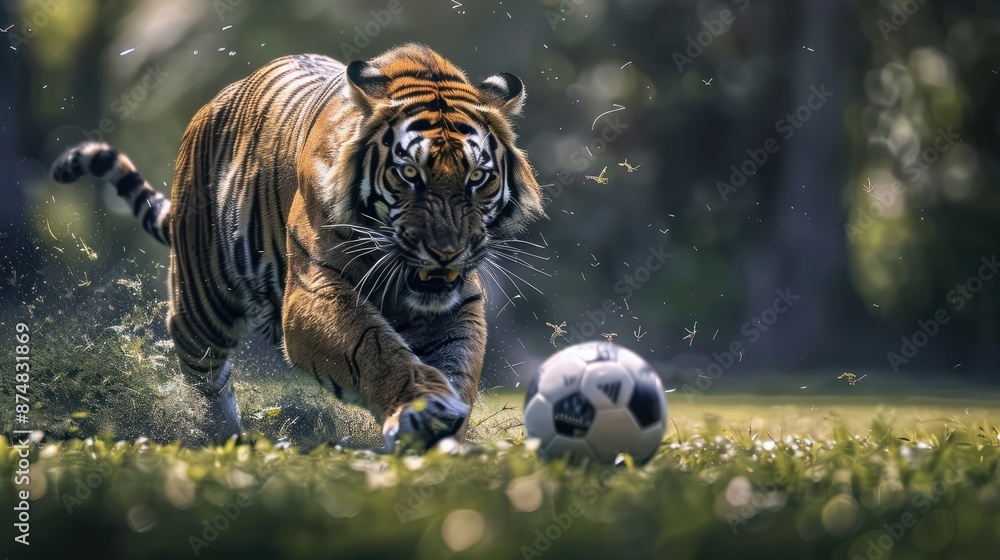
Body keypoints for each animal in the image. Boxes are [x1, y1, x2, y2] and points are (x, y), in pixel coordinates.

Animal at [51, 43, 545, 449]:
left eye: (477, 177)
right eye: (410, 174)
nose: (447, 252)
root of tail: (213, 103)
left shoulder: (457, 303)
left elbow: (457, 363)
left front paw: (445, 427)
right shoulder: (312, 291)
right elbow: (374, 347)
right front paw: (421, 407)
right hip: (204, 302)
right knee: (200, 364)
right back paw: (219, 435)